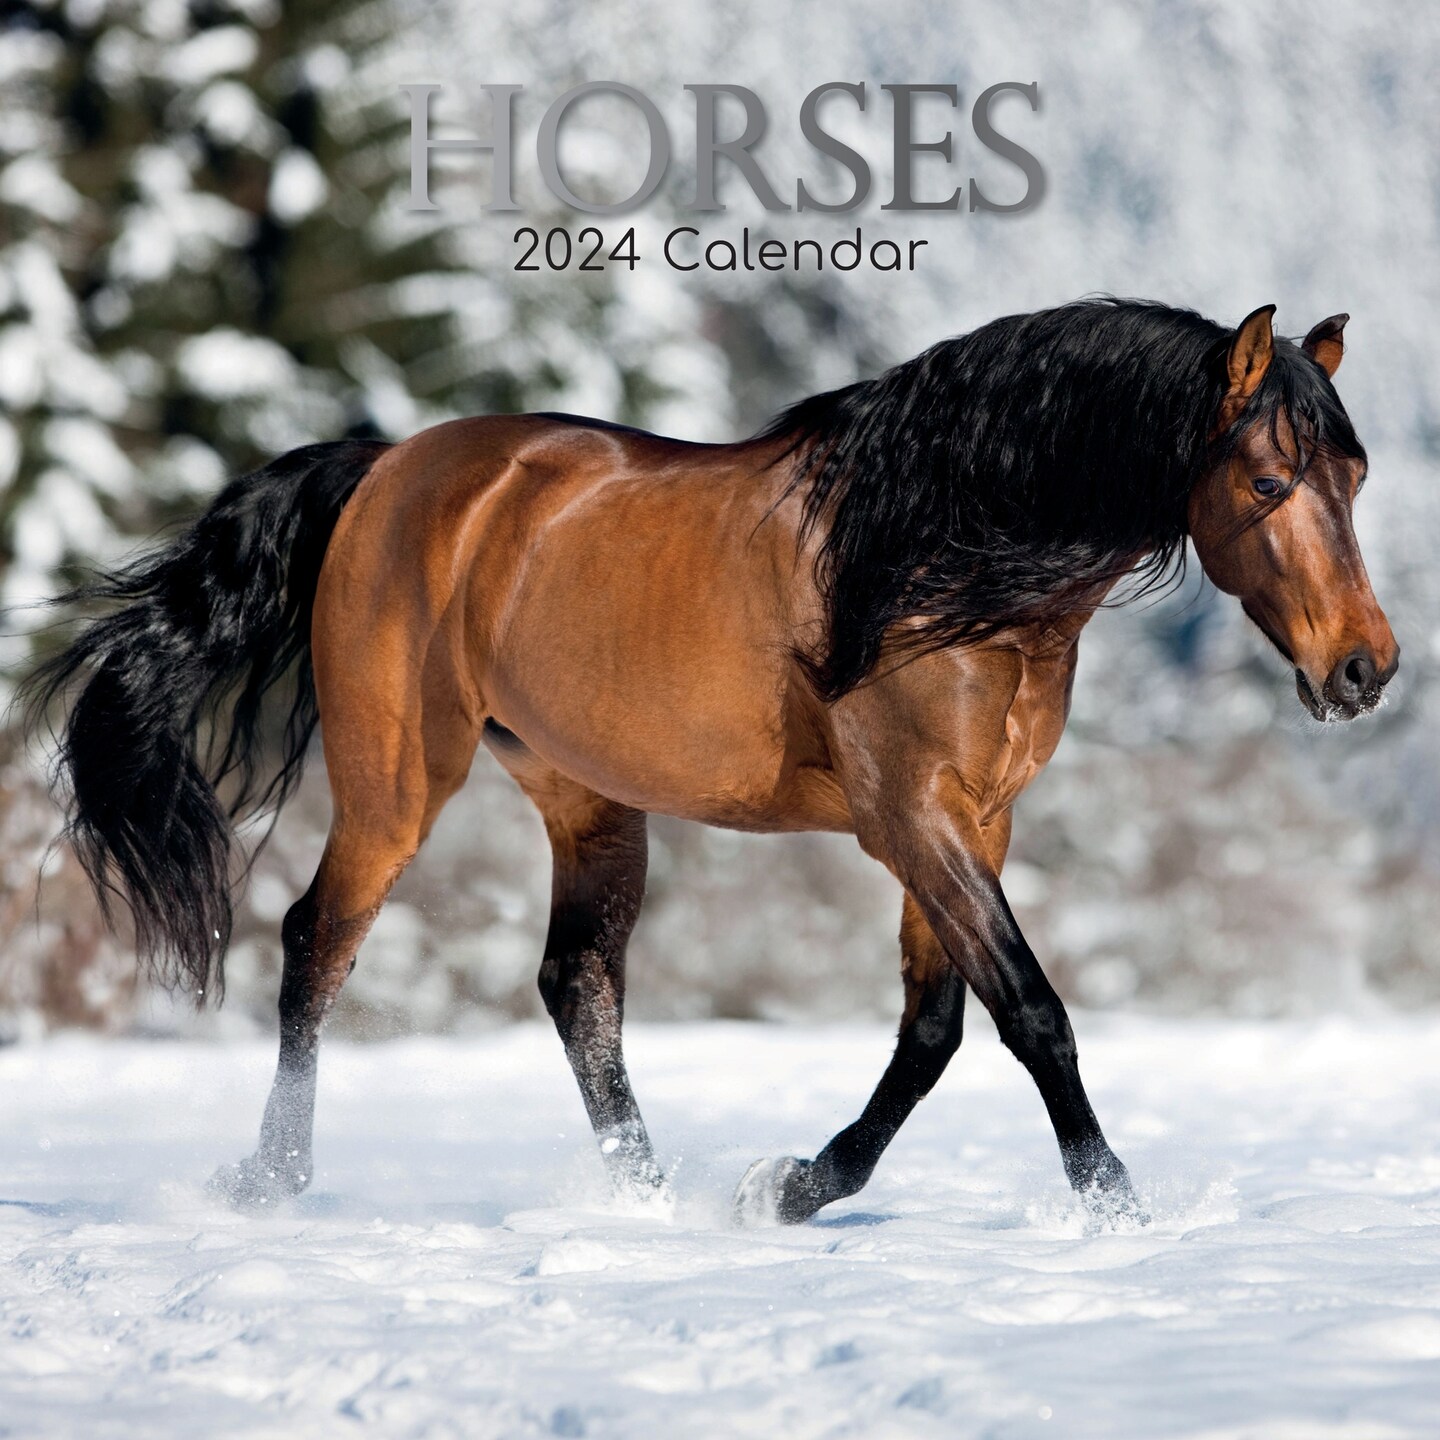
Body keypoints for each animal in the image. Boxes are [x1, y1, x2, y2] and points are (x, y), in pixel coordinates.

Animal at [22, 299, 1396, 1224]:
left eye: (1355, 472)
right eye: (1267, 479)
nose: (1364, 669)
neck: (940, 551)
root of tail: (389, 469)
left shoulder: (972, 821)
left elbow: (936, 1027)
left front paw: (793, 1187)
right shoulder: (915, 819)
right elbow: (1029, 1011)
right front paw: (1112, 1202)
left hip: (584, 796)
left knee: (576, 982)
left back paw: (644, 1194)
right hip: (399, 780)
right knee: (319, 942)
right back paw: (271, 1177)